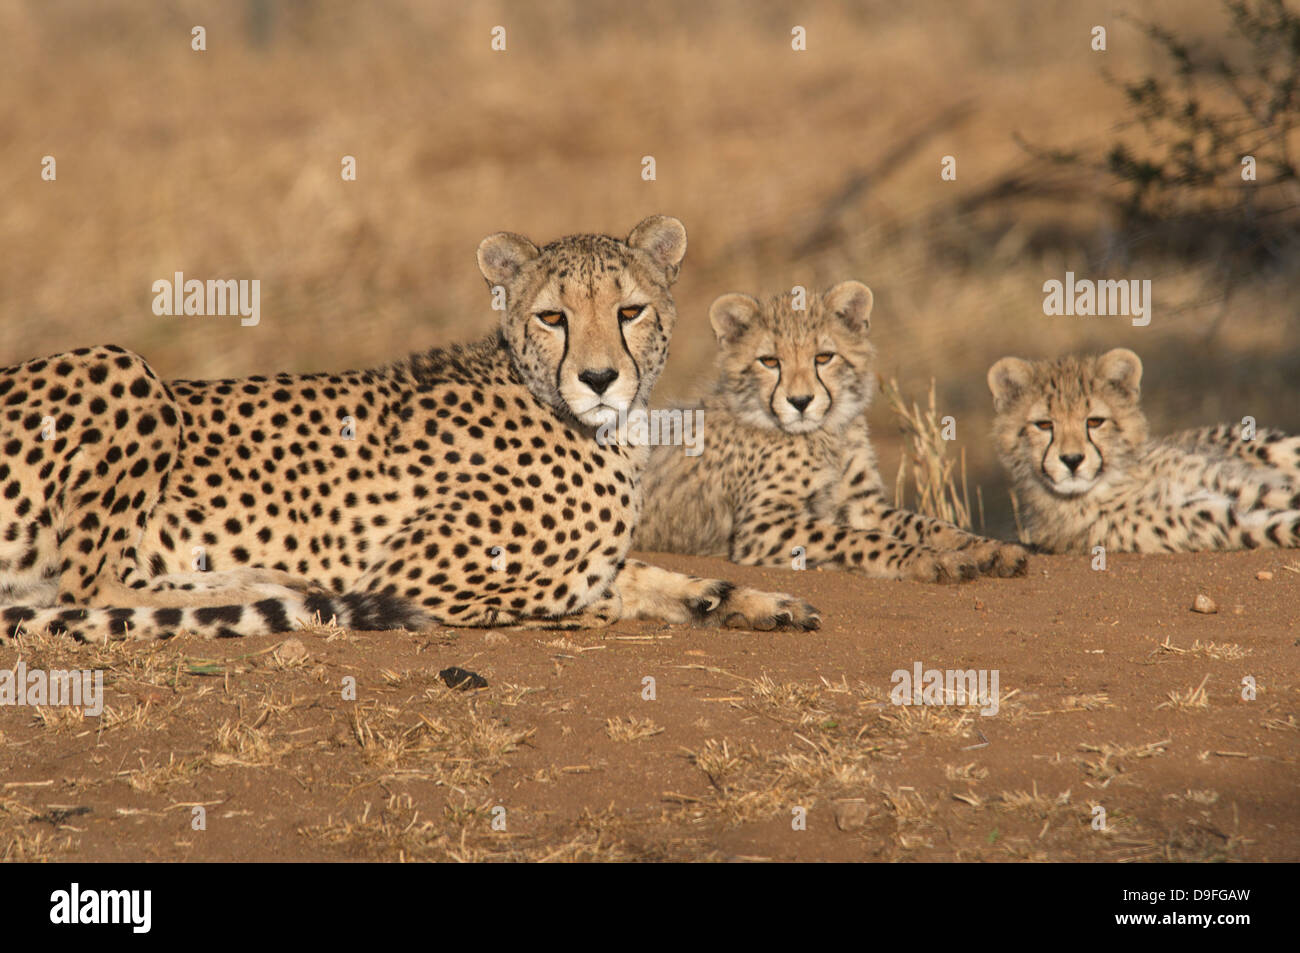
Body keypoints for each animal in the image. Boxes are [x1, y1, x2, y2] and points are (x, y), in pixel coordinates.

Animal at [0, 215, 819, 642]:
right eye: (553, 317)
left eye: (630, 310)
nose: (597, 379)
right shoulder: (421, 575)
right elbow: (576, 587)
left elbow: (649, 572)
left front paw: (747, 601)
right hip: (123, 365)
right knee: (89, 586)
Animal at [635, 281, 1030, 582]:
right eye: (770, 361)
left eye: (823, 357)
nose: (800, 401)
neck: (824, 435)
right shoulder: (763, 525)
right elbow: (861, 538)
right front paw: (930, 558)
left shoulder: (861, 503)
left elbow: (929, 524)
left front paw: (988, 548)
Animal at [988, 346, 1300, 554]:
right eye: (1044, 425)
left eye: (1094, 421)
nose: (1072, 460)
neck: (1116, 481)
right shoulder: (1228, 520)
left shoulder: (1243, 488)